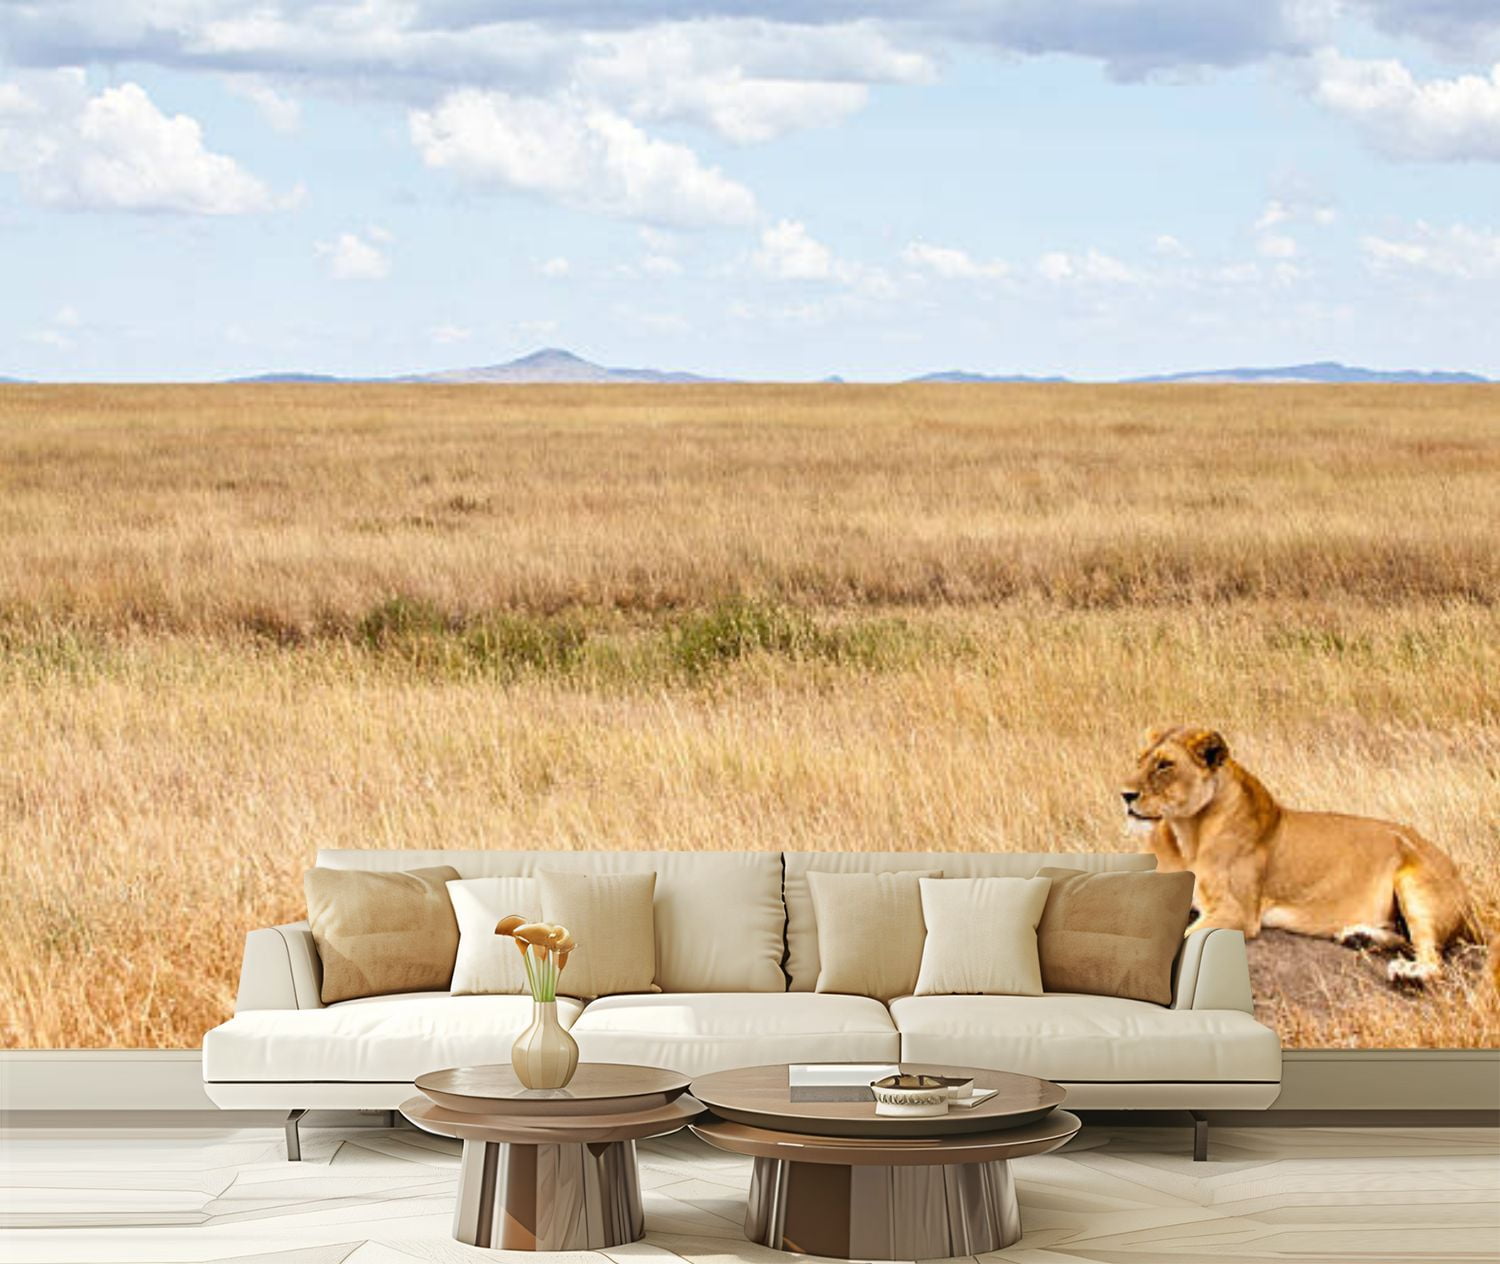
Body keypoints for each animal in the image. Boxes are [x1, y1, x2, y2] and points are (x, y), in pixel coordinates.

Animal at [1120, 725, 1480, 985]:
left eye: (1164, 765)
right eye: (1139, 760)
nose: (1125, 795)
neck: (1187, 834)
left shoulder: (1236, 912)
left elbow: (1176, 939)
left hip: (1415, 883)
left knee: (1432, 957)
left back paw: (1409, 973)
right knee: (1405, 939)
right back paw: (1359, 937)